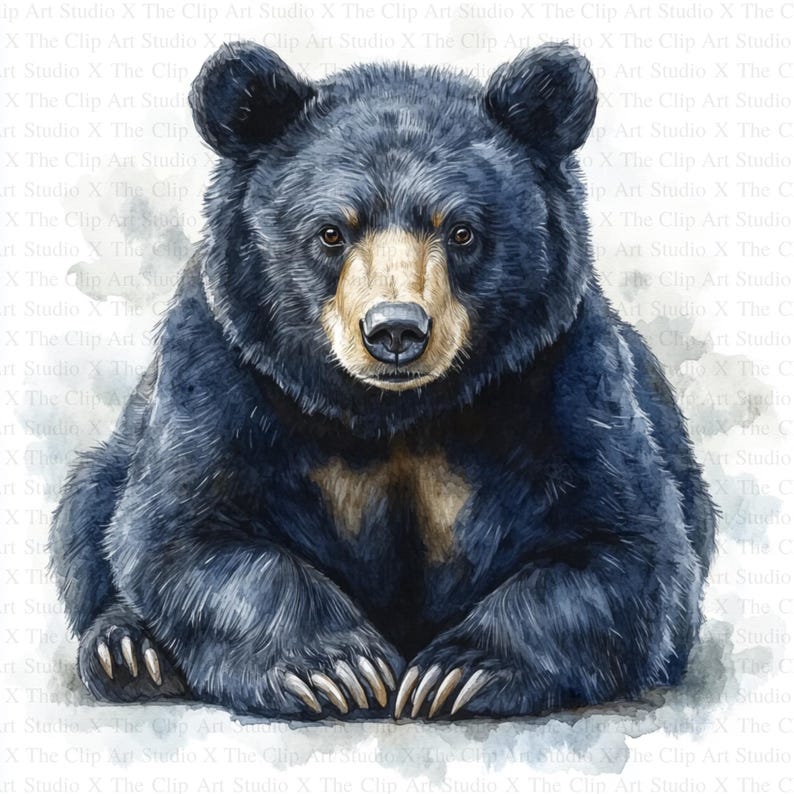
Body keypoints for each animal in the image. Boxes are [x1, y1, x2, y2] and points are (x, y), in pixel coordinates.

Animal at [49, 41, 716, 720]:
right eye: (331, 231)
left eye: (461, 230)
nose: (395, 329)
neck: (395, 411)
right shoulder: (225, 368)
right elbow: (182, 531)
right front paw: (338, 667)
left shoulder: (556, 377)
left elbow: (627, 547)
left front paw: (456, 671)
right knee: (87, 506)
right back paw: (128, 651)